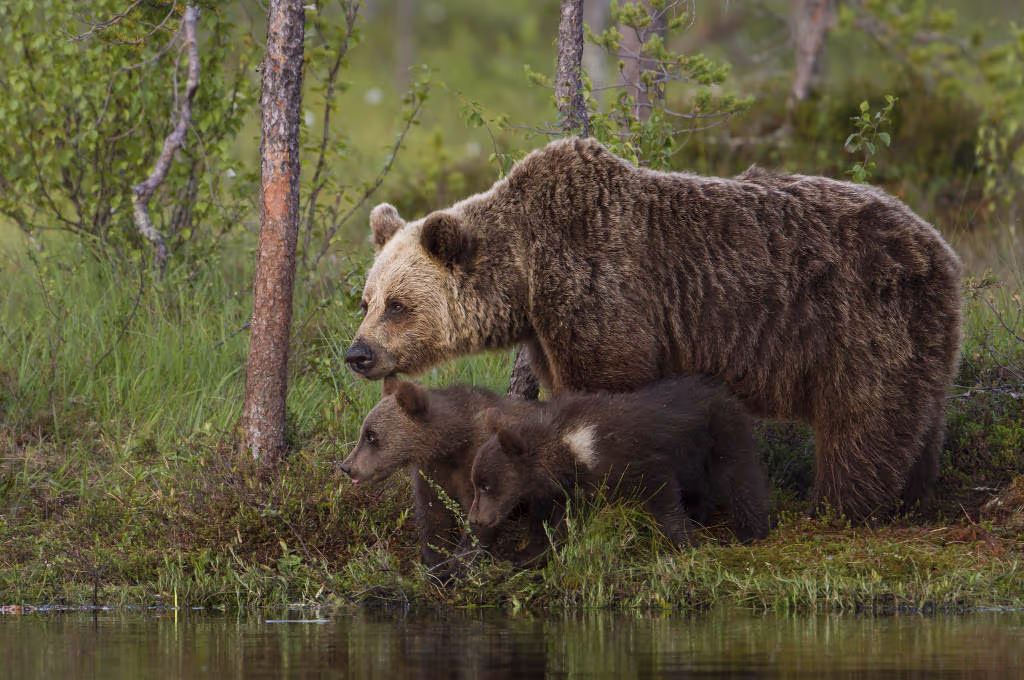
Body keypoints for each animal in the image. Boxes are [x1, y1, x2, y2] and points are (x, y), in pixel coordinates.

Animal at [339, 377, 508, 570]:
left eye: (371, 435)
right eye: (363, 432)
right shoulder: (431, 472)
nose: (346, 467)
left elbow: (481, 515)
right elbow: (432, 515)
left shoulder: (477, 463)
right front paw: (435, 562)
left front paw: (459, 564)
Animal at [345, 137, 963, 521]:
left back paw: (842, 505)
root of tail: (938, 242)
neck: (528, 273)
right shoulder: (548, 328)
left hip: (861, 322)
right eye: (366, 300)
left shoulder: (601, 289)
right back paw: (913, 496)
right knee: (917, 416)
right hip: (920, 336)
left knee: (864, 419)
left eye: (399, 305)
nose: (358, 354)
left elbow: (608, 386)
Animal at [467, 375, 771, 550]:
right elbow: (557, 521)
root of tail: (724, 392)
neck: (571, 450)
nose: (474, 518)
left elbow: (661, 492)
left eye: (485, 485)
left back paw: (751, 532)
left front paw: (685, 541)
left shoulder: (633, 456)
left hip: (719, 433)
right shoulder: (573, 486)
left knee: (738, 478)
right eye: (477, 482)